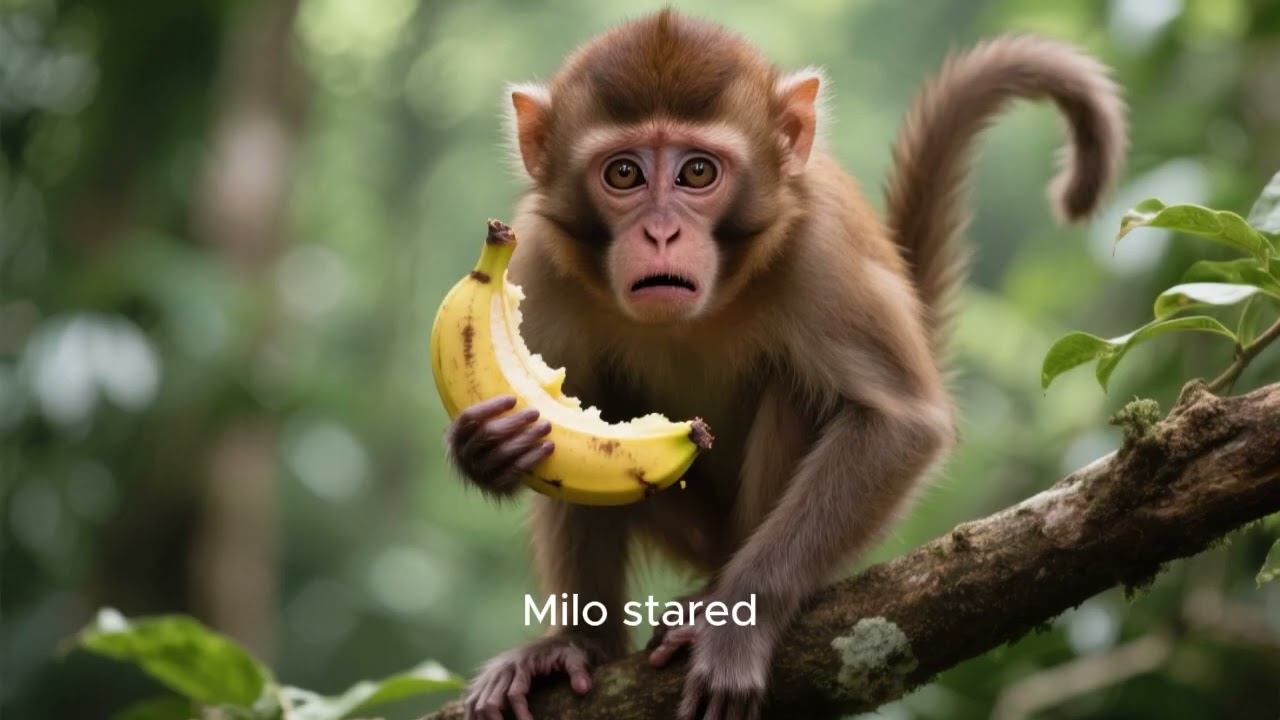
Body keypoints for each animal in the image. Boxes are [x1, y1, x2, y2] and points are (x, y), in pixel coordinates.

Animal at [444, 10, 1126, 720]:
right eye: (624, 174)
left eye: (697, 173)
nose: (661, 233)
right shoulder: (541, 261)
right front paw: (486, 446)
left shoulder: (818, 251)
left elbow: (900, 425)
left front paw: (737, 622)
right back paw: (582, 646)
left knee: (799, 390)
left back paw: (709, 599)